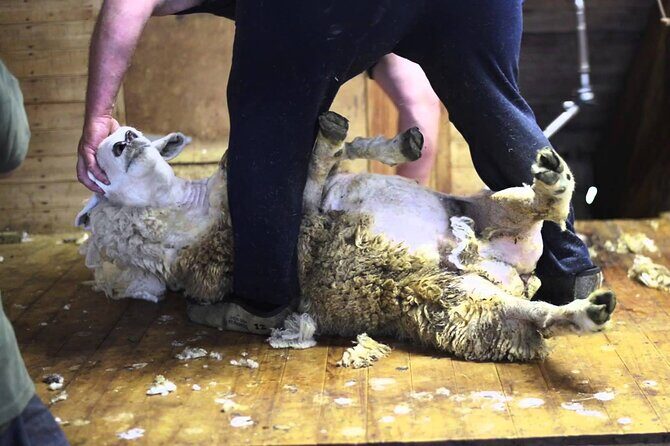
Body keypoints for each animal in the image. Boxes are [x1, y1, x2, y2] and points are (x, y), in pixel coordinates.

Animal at [76, 112, 616, 361]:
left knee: (540, 209)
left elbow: (342, 151)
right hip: (459, 304)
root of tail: (503, 267)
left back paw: (551, 180)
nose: (123, 139)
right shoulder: (293, 216)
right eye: (102, 173)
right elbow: (318, 166)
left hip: (484, 208)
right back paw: (586, 311)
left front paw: (396, 144)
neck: (193, 214)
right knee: (532, 316)